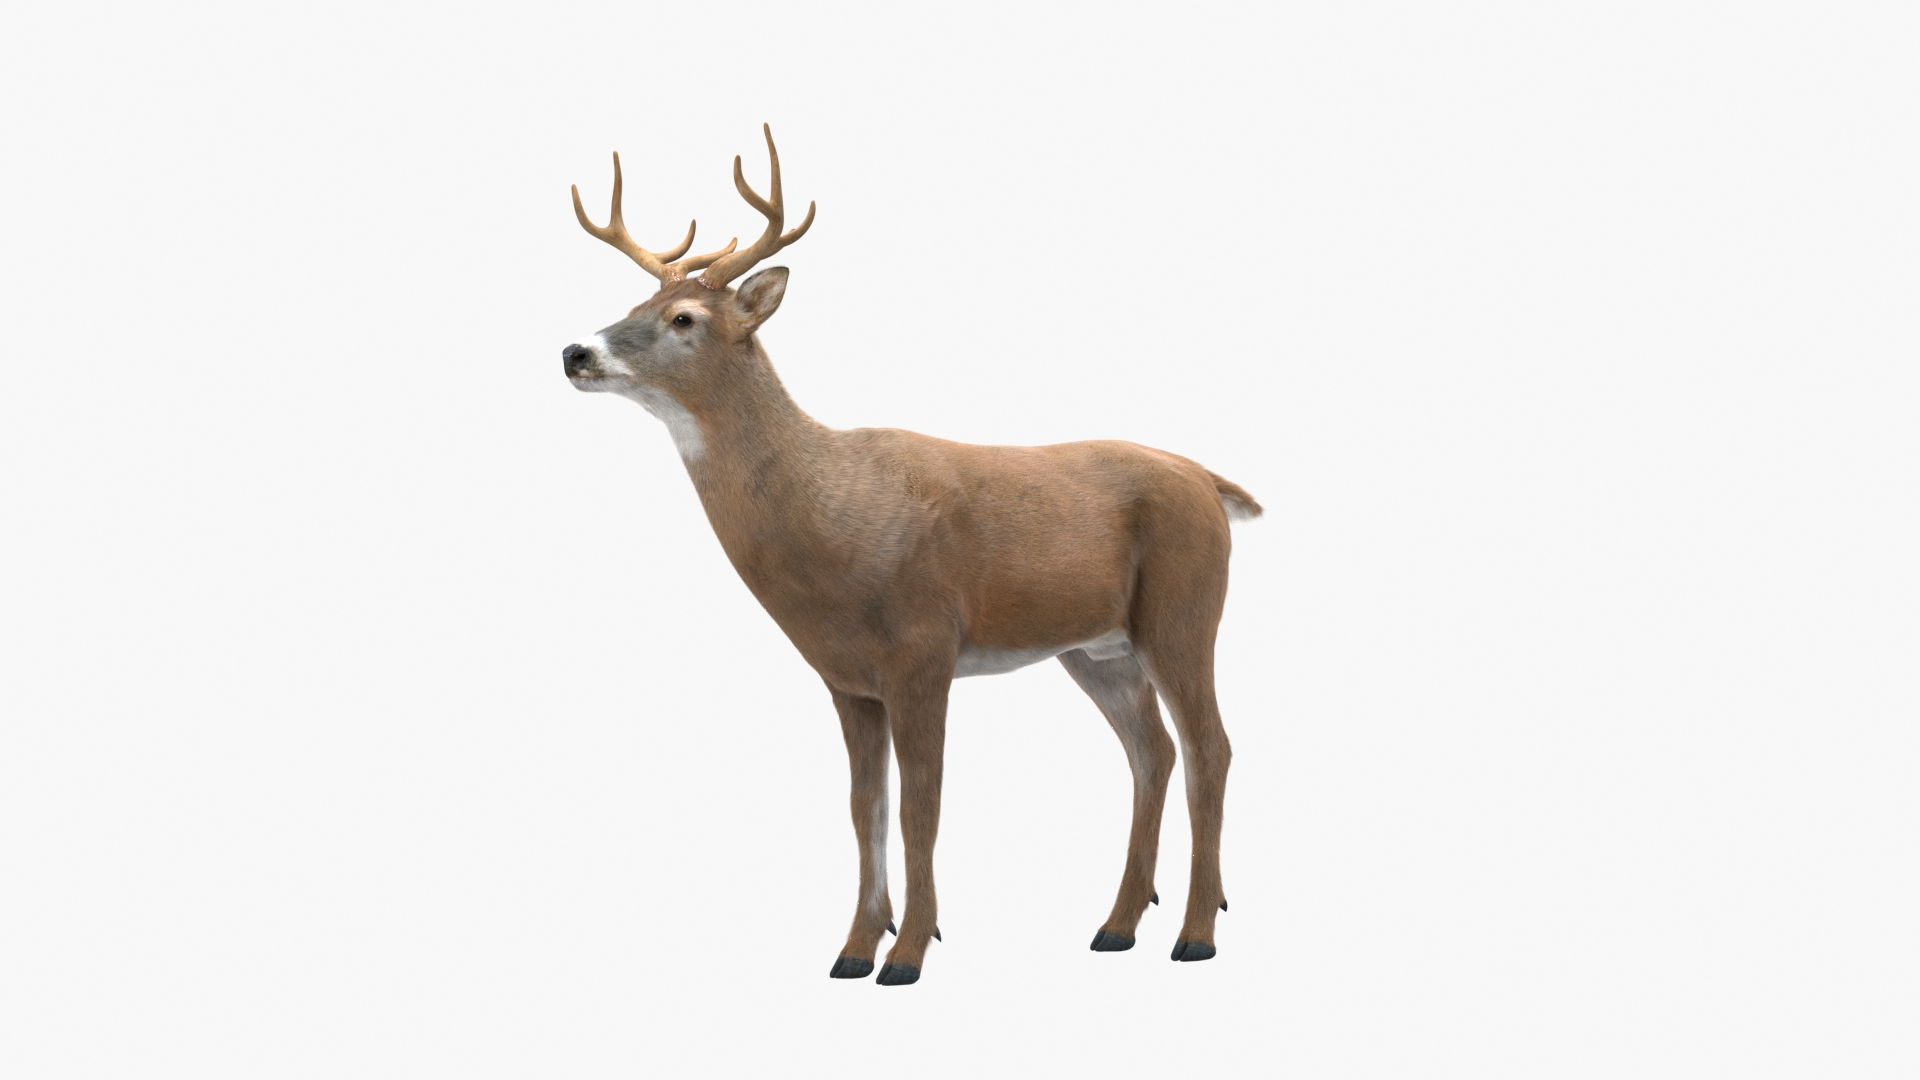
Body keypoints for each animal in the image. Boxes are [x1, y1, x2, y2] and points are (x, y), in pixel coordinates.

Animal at [561, 126, 1261, 985]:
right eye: (633, 306)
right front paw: (855, 948)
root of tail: (1209, 481)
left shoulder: (924, 650)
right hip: (1096, 648)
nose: (575, 351)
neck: (833, 522)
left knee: (1209, 748)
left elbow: (922, 805)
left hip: (1185, 608)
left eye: (684, 317)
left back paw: (1196, 933)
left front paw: (909, 953)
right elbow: (866, 807)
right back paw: (1117, 925)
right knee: (1152, 752)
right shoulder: (846, 678)